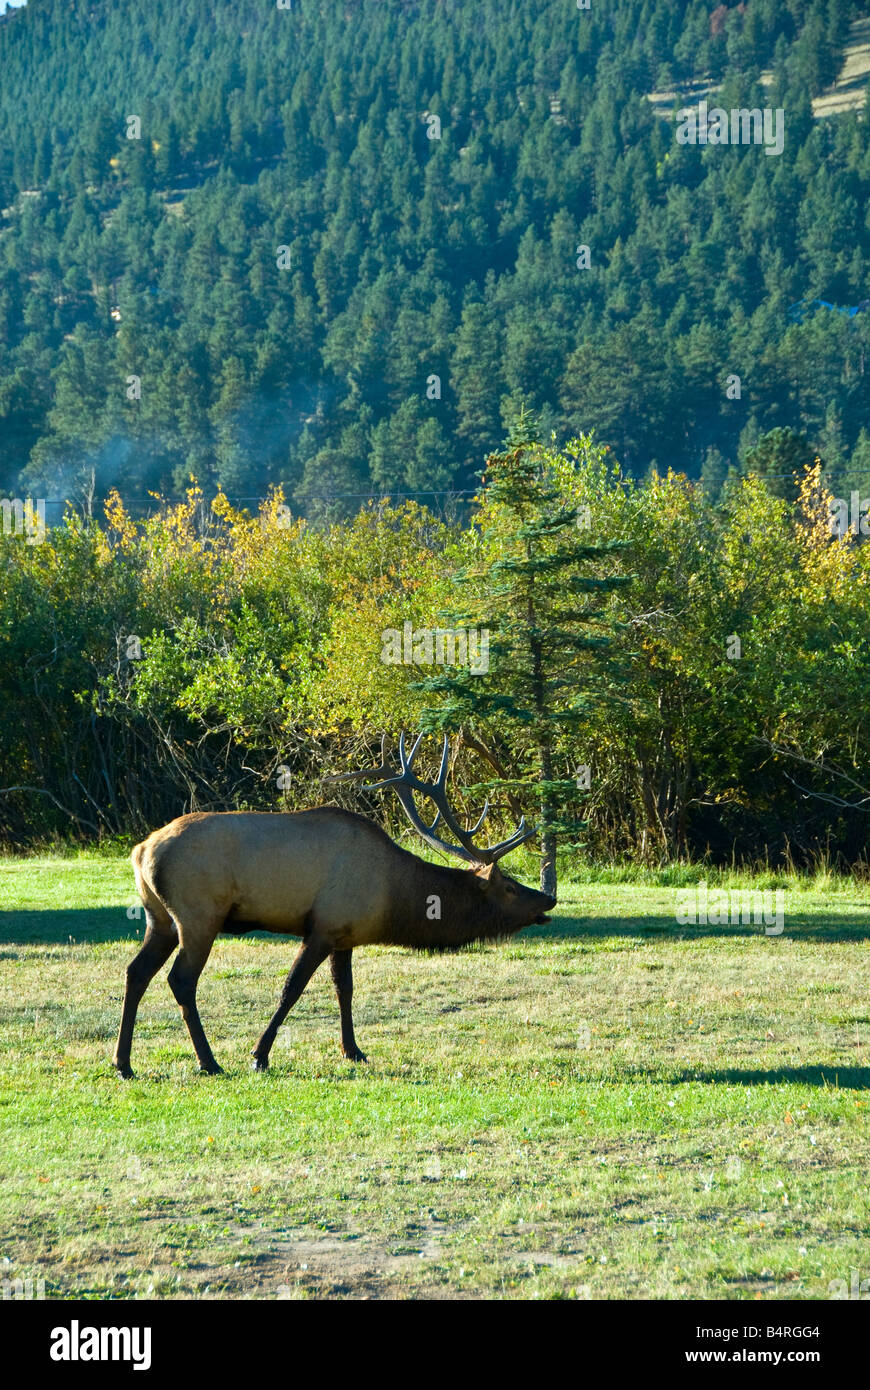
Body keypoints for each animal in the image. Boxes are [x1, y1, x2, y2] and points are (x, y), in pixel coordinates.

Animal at [113, 734, 556, 1077]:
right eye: (510, 887)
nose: (548, 898)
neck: (393, 897)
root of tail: (141, 851)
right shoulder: (323, 927)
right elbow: (291, 989)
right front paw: (259, 1055)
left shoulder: (346, 935)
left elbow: (345, 989)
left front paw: (353, 1050)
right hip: (199, 915)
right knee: (180, 980)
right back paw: (209, 1062)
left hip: (159, 918)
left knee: (136, 972)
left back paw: (124, 1064)